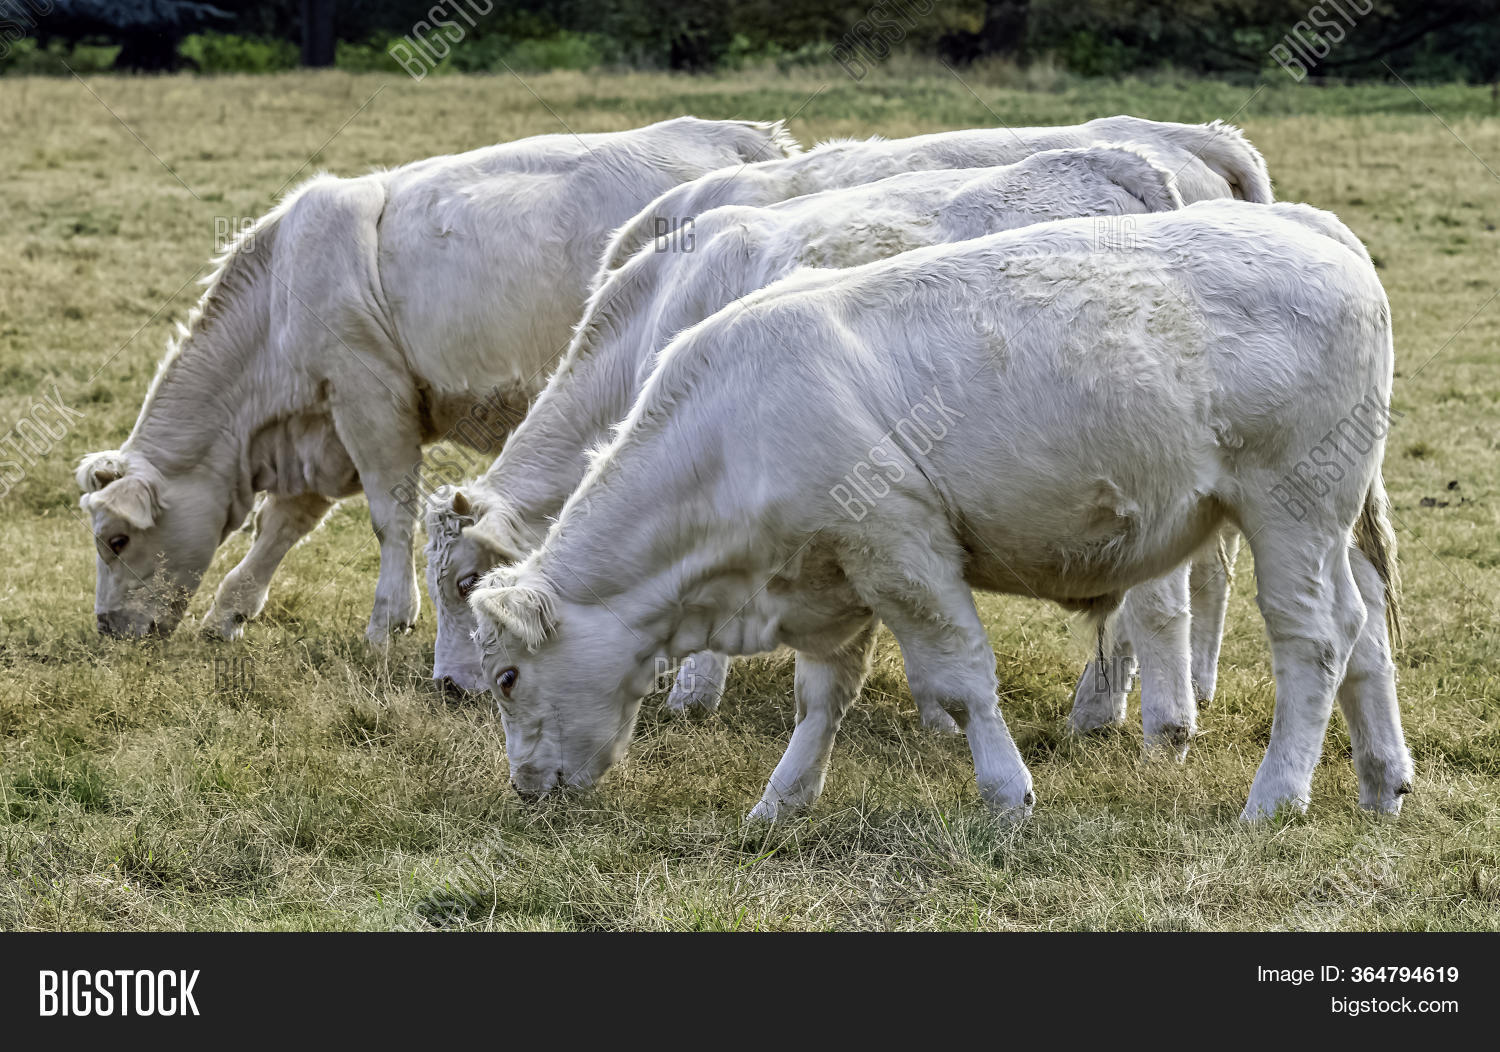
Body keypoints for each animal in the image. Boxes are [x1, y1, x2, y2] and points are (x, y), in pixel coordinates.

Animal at [76, 116, 799, 642]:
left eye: (116, 540)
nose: (108, 629)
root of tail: (744, 136)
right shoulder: (324, 427)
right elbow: (283, 525)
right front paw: (231, 610)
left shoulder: (370, 397)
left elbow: (388, 515)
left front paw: (387, 622)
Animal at [425, 142, 1185, 726]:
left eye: (466, 583)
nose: (450, 687)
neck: (654, 308)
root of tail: (1106, 161)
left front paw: (692, 696)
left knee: (1155, 603)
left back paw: (1146, 722)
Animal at [468, 201, 1413, 823]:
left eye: (507, 678)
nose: (523, 786)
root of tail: (1309, 226)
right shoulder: (836, 577)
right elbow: (822, 698)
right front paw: (782, 802)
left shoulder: (902, 551)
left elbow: (960, 682)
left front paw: (1006, 793)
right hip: (1335, 523)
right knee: (1366, 634)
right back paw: (1381, 782)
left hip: (1291, 511)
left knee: (1315, 641)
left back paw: (1276, 798)